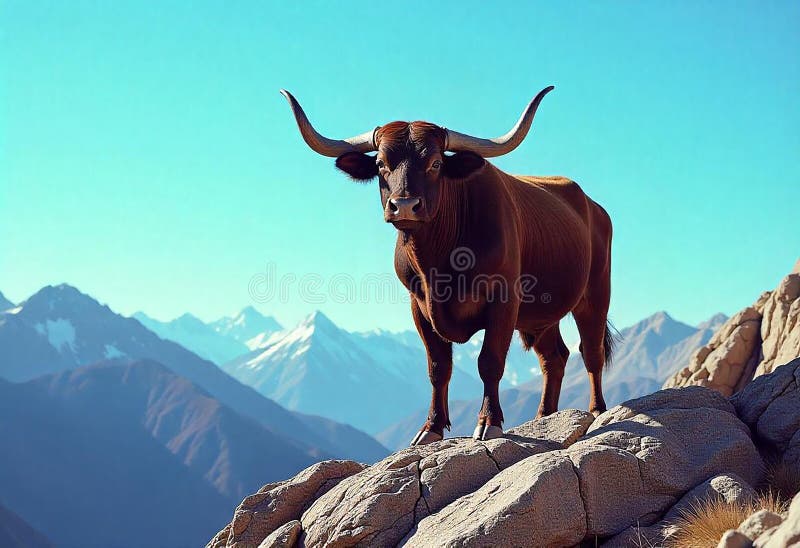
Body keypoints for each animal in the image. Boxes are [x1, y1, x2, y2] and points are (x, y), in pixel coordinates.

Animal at [281, 87, 614, 445]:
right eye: (381, 164)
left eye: (436, 163)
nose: (404, 205)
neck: (438, 263)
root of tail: (592, 205)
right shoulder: (418, 306)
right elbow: (438, 367)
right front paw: (431, 427)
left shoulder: (503, 300)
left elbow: (490, 361)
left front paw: (489, 422)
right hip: (541, 315)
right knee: (554, 358)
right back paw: (544, 416)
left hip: (595, 295)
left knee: (591, 351)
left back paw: (597, 410)